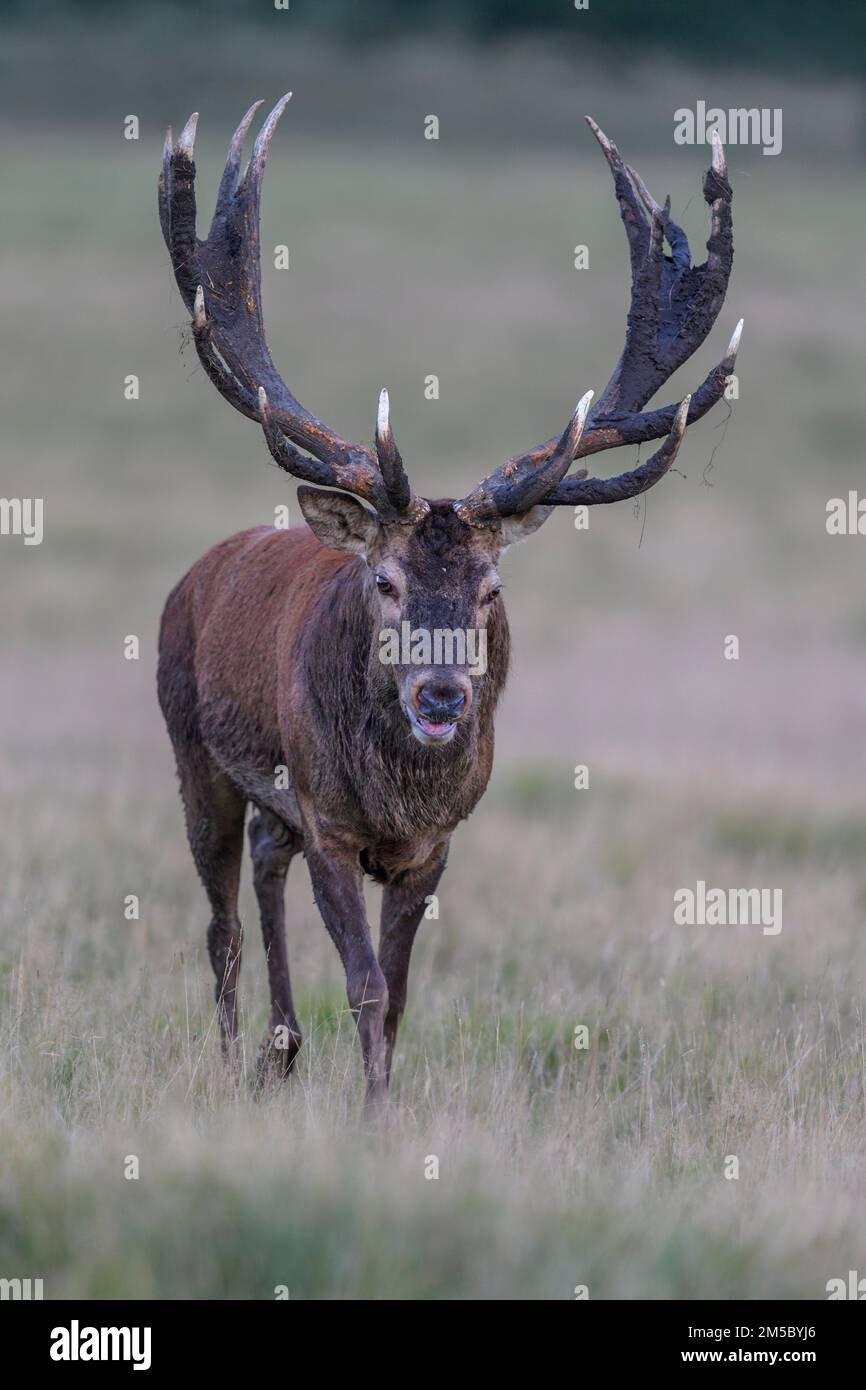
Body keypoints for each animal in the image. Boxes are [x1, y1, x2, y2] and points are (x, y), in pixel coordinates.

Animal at [157, 95, 739, 1111]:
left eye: (489, 587)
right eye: (385, 582)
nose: (441, 695)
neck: (399, 801)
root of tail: (201, 569)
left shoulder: (434, 846)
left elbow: (398, 995)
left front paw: (378, 1104)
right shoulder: (331, 821)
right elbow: (364, 983)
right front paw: (374, 1118)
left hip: (273, 800)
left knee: (265, 864)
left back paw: (281, 1049)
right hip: (194, 749)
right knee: (220, 925)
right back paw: (235, 1062)